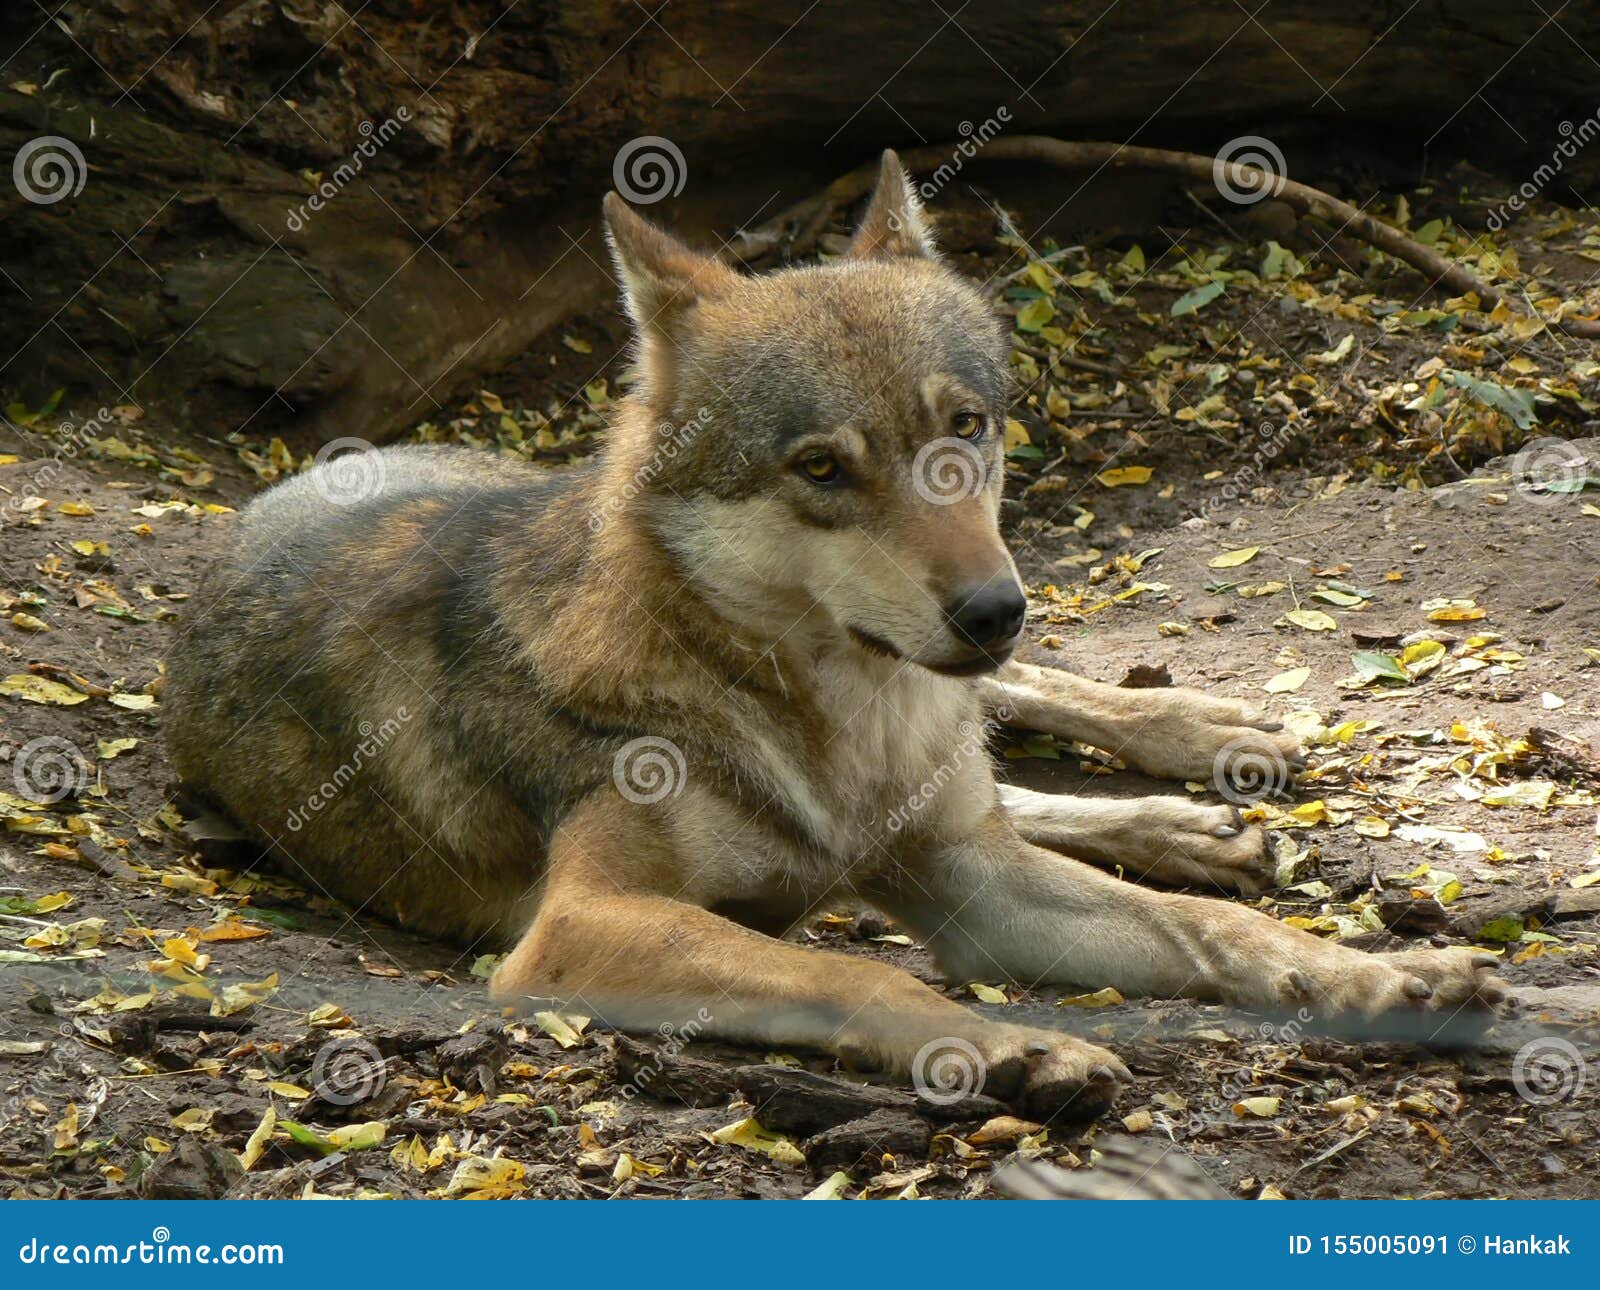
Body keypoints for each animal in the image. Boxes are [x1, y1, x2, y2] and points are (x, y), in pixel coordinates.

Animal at [166, 152, 1503, 1119]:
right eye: (821, 469)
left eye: (965, 427)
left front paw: (1384, 974)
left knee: (1027, 728)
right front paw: (1004, 1047)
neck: (827, 724)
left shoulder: (970, 881)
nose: (991, 608)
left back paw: (1200, 760)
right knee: (1005, 787)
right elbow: (849, 966)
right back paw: (1185, 821)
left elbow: (1220, 931)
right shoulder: (577, 928)